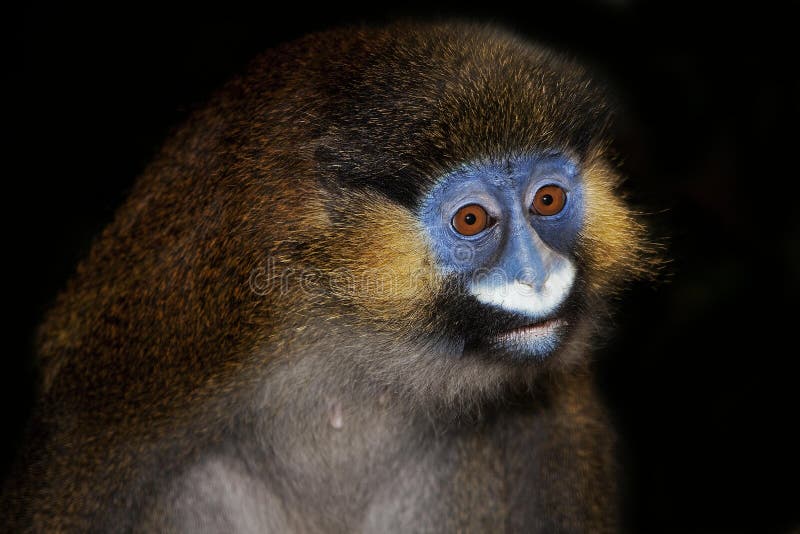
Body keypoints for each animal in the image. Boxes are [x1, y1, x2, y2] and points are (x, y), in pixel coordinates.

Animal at [1, 22, 657, 532]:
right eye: (472, 220)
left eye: (548, 200)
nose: (535, 274)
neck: (357, 314)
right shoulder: (208, 304)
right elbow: (78, 446)